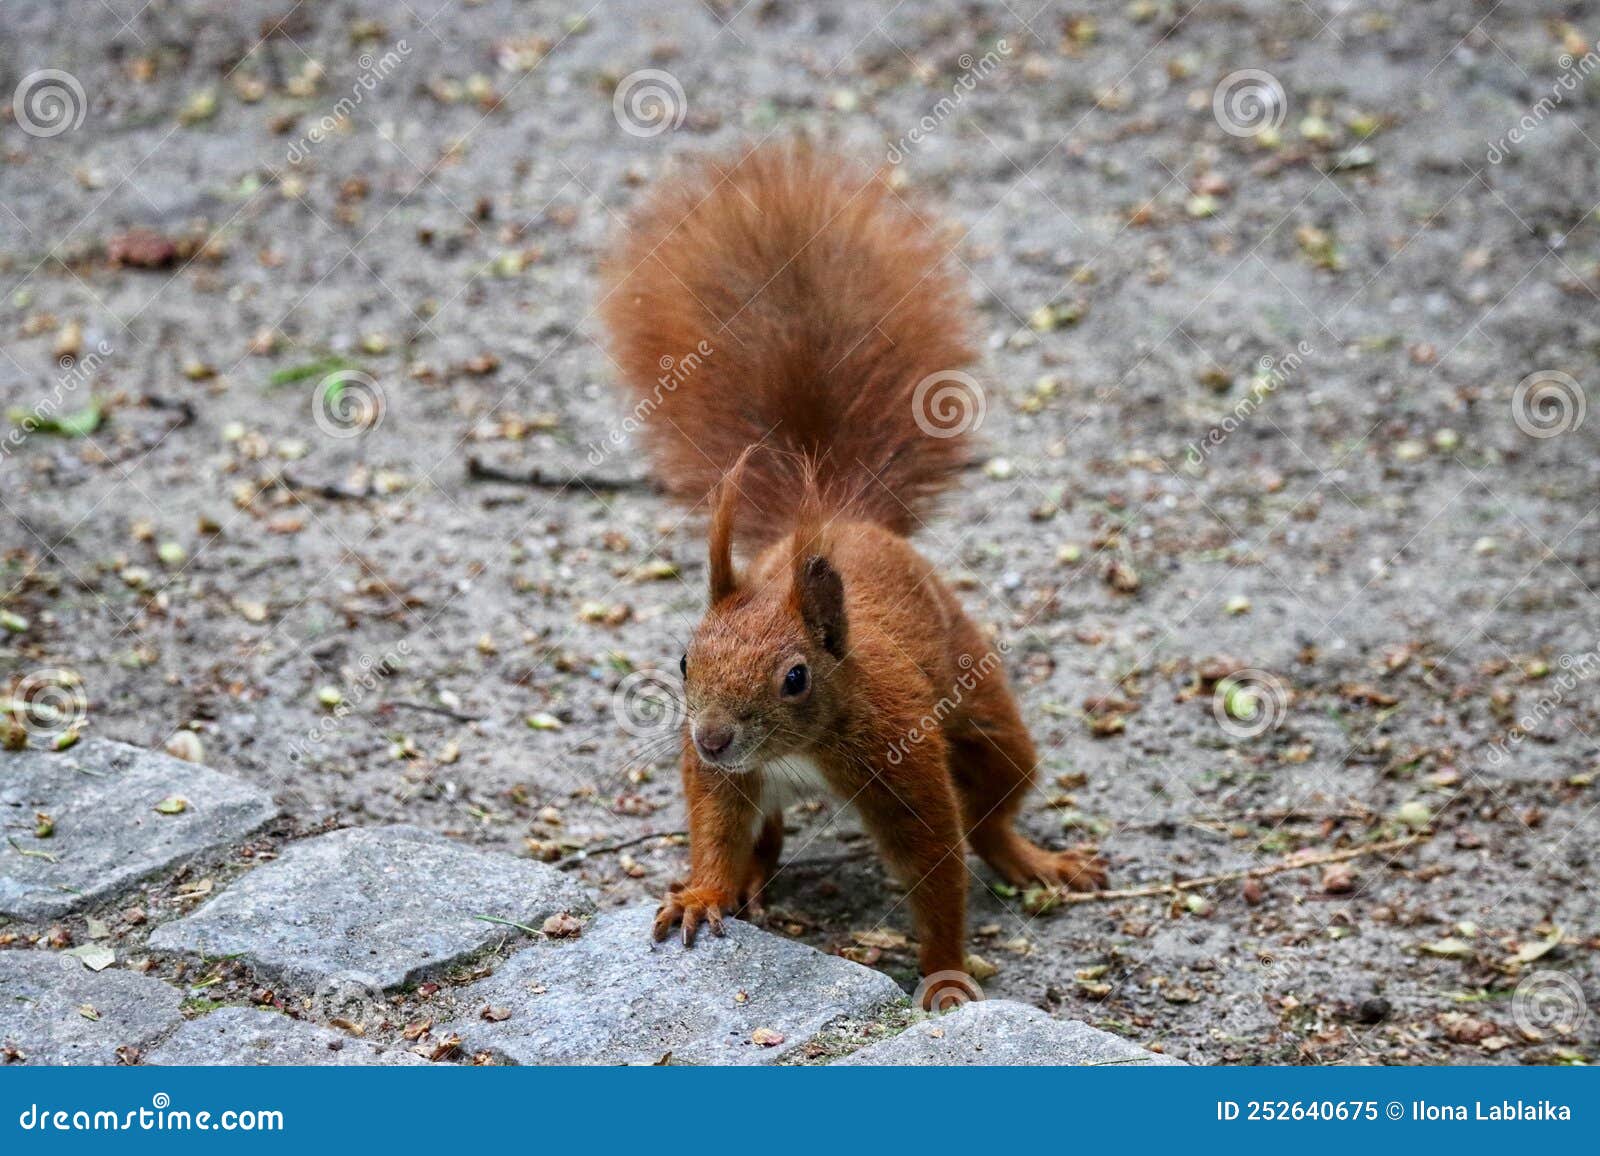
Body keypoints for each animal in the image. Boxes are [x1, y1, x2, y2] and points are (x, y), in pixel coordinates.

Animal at [599, 139, 1106, 1009]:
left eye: (795, 677)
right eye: (684, 660)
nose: (713, 737)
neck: (801, 749)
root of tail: (846, 517)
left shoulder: (901, 760)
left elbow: (937, 864)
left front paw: (944, 981)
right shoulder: (723, 782)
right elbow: (716, 830)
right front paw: (704, 892)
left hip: (982, 705)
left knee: (994, 808)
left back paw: (1032, 859)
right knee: (767, 838)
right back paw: (749, 881)